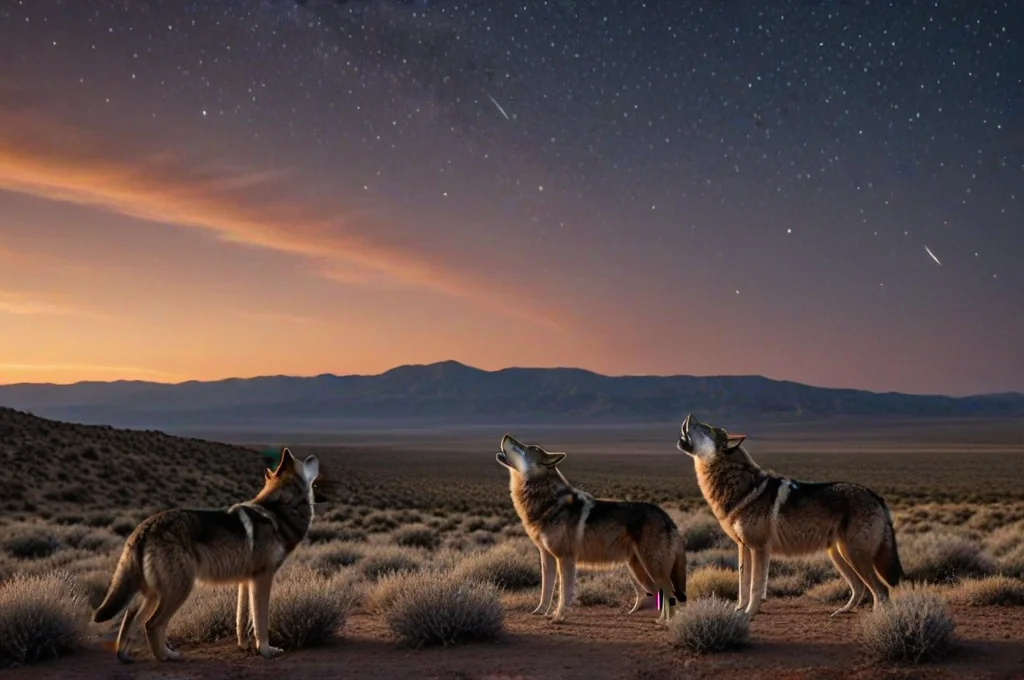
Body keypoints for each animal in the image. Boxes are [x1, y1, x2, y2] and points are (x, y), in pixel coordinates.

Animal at [92, 447, 320, 663]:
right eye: (304, 462)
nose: (314, 457)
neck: (279, 510)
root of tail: (144, 527)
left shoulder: (246, 581)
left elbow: (241, 619)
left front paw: (244, 646)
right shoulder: (262, 578)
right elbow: (261, 621)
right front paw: (266, 650)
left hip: (156, 593)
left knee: (131, 616)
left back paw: (125, 656)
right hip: (179, 590)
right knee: (152, 624)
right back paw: (166, 656)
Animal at [496, 433, 687, 623]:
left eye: (523, 448)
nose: (506, 435)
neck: (547, 501)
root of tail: (667, 517)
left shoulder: (565, 558)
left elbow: (564, 592)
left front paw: (558, 617)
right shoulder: (547, 556)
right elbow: (546, 590)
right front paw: (540, 612)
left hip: (652, 567)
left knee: (670, 593)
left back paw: (666, 622)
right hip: (637, 568)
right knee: (657, 593)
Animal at [676, 414, 903, 618]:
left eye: (705, 428)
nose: (689, 415)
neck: (739, 488)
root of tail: (875, 495)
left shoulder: (760, 547)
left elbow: (755, 586)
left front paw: (749, 613)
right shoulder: (743, 546)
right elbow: (743, 584)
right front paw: (739, 610)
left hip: (855, 556)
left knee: (881, 590)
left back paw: (877, 619)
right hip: (840, 555)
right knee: (860, 587)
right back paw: (842, 611)